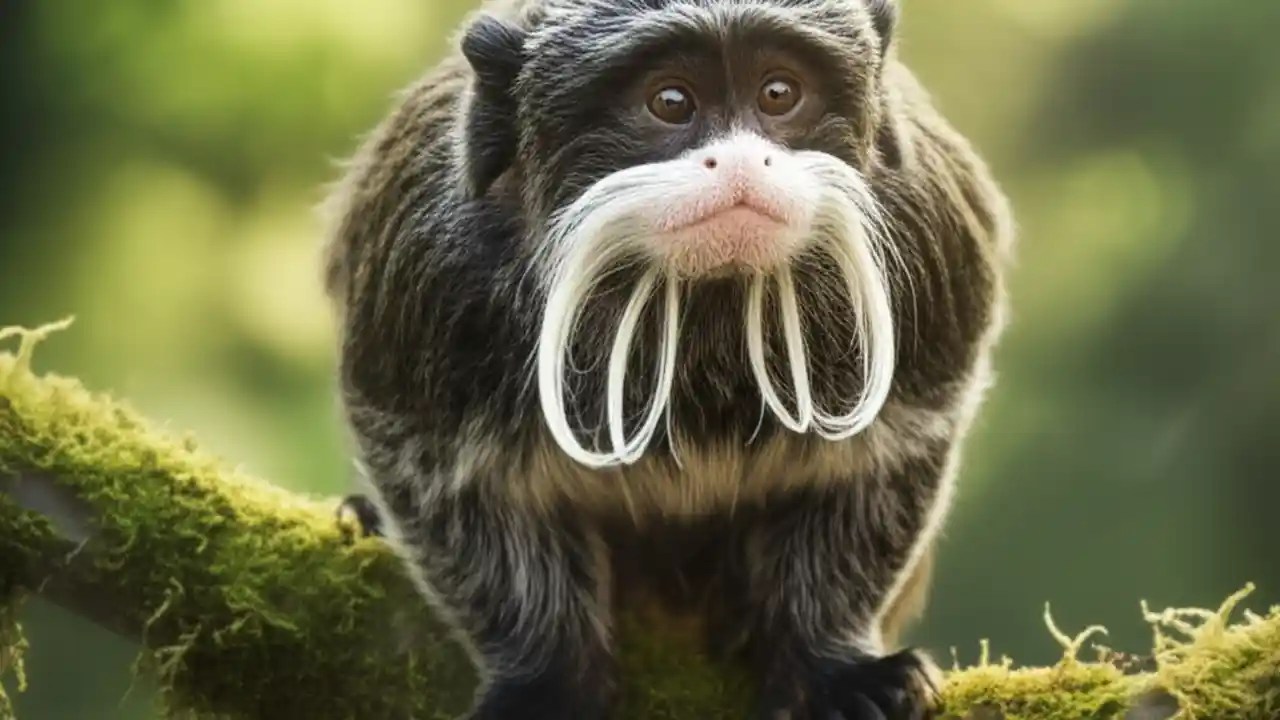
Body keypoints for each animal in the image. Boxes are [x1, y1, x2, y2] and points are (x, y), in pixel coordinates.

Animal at [323, 0, 1013, 717]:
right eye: (672, 102)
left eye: (778, 93)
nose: (742, 164)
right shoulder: (428, 270)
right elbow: (459, 496)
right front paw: (547, 680)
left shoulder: (929, 238)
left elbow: (878, 469)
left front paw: (833, 666)